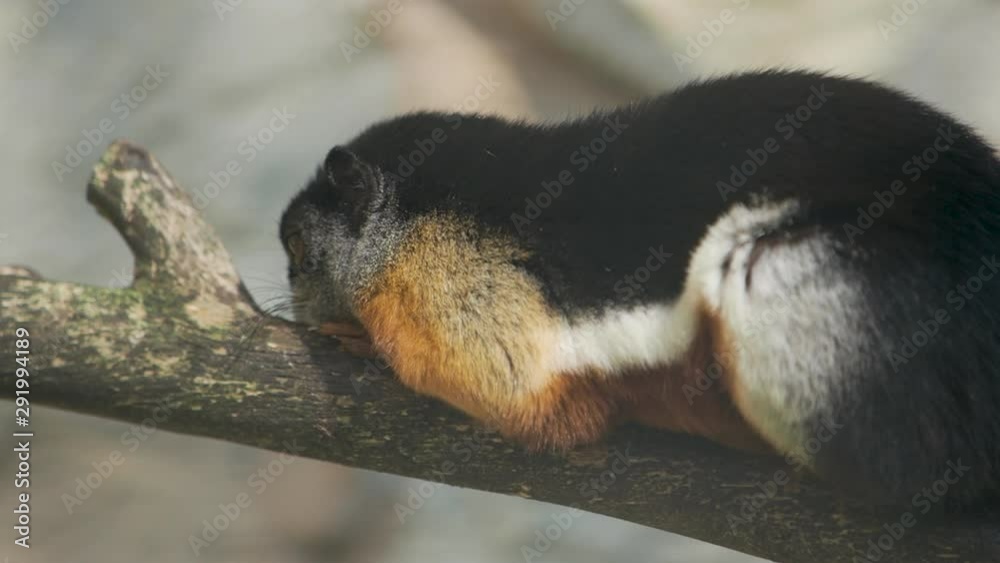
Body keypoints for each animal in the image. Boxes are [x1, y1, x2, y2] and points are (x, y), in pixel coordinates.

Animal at [279, 70, 1000, 507]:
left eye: (298, 253)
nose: (289, 292)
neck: (405, 221)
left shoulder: (457, 286)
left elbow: (519, 396)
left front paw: (354, 340)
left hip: (788, 278)